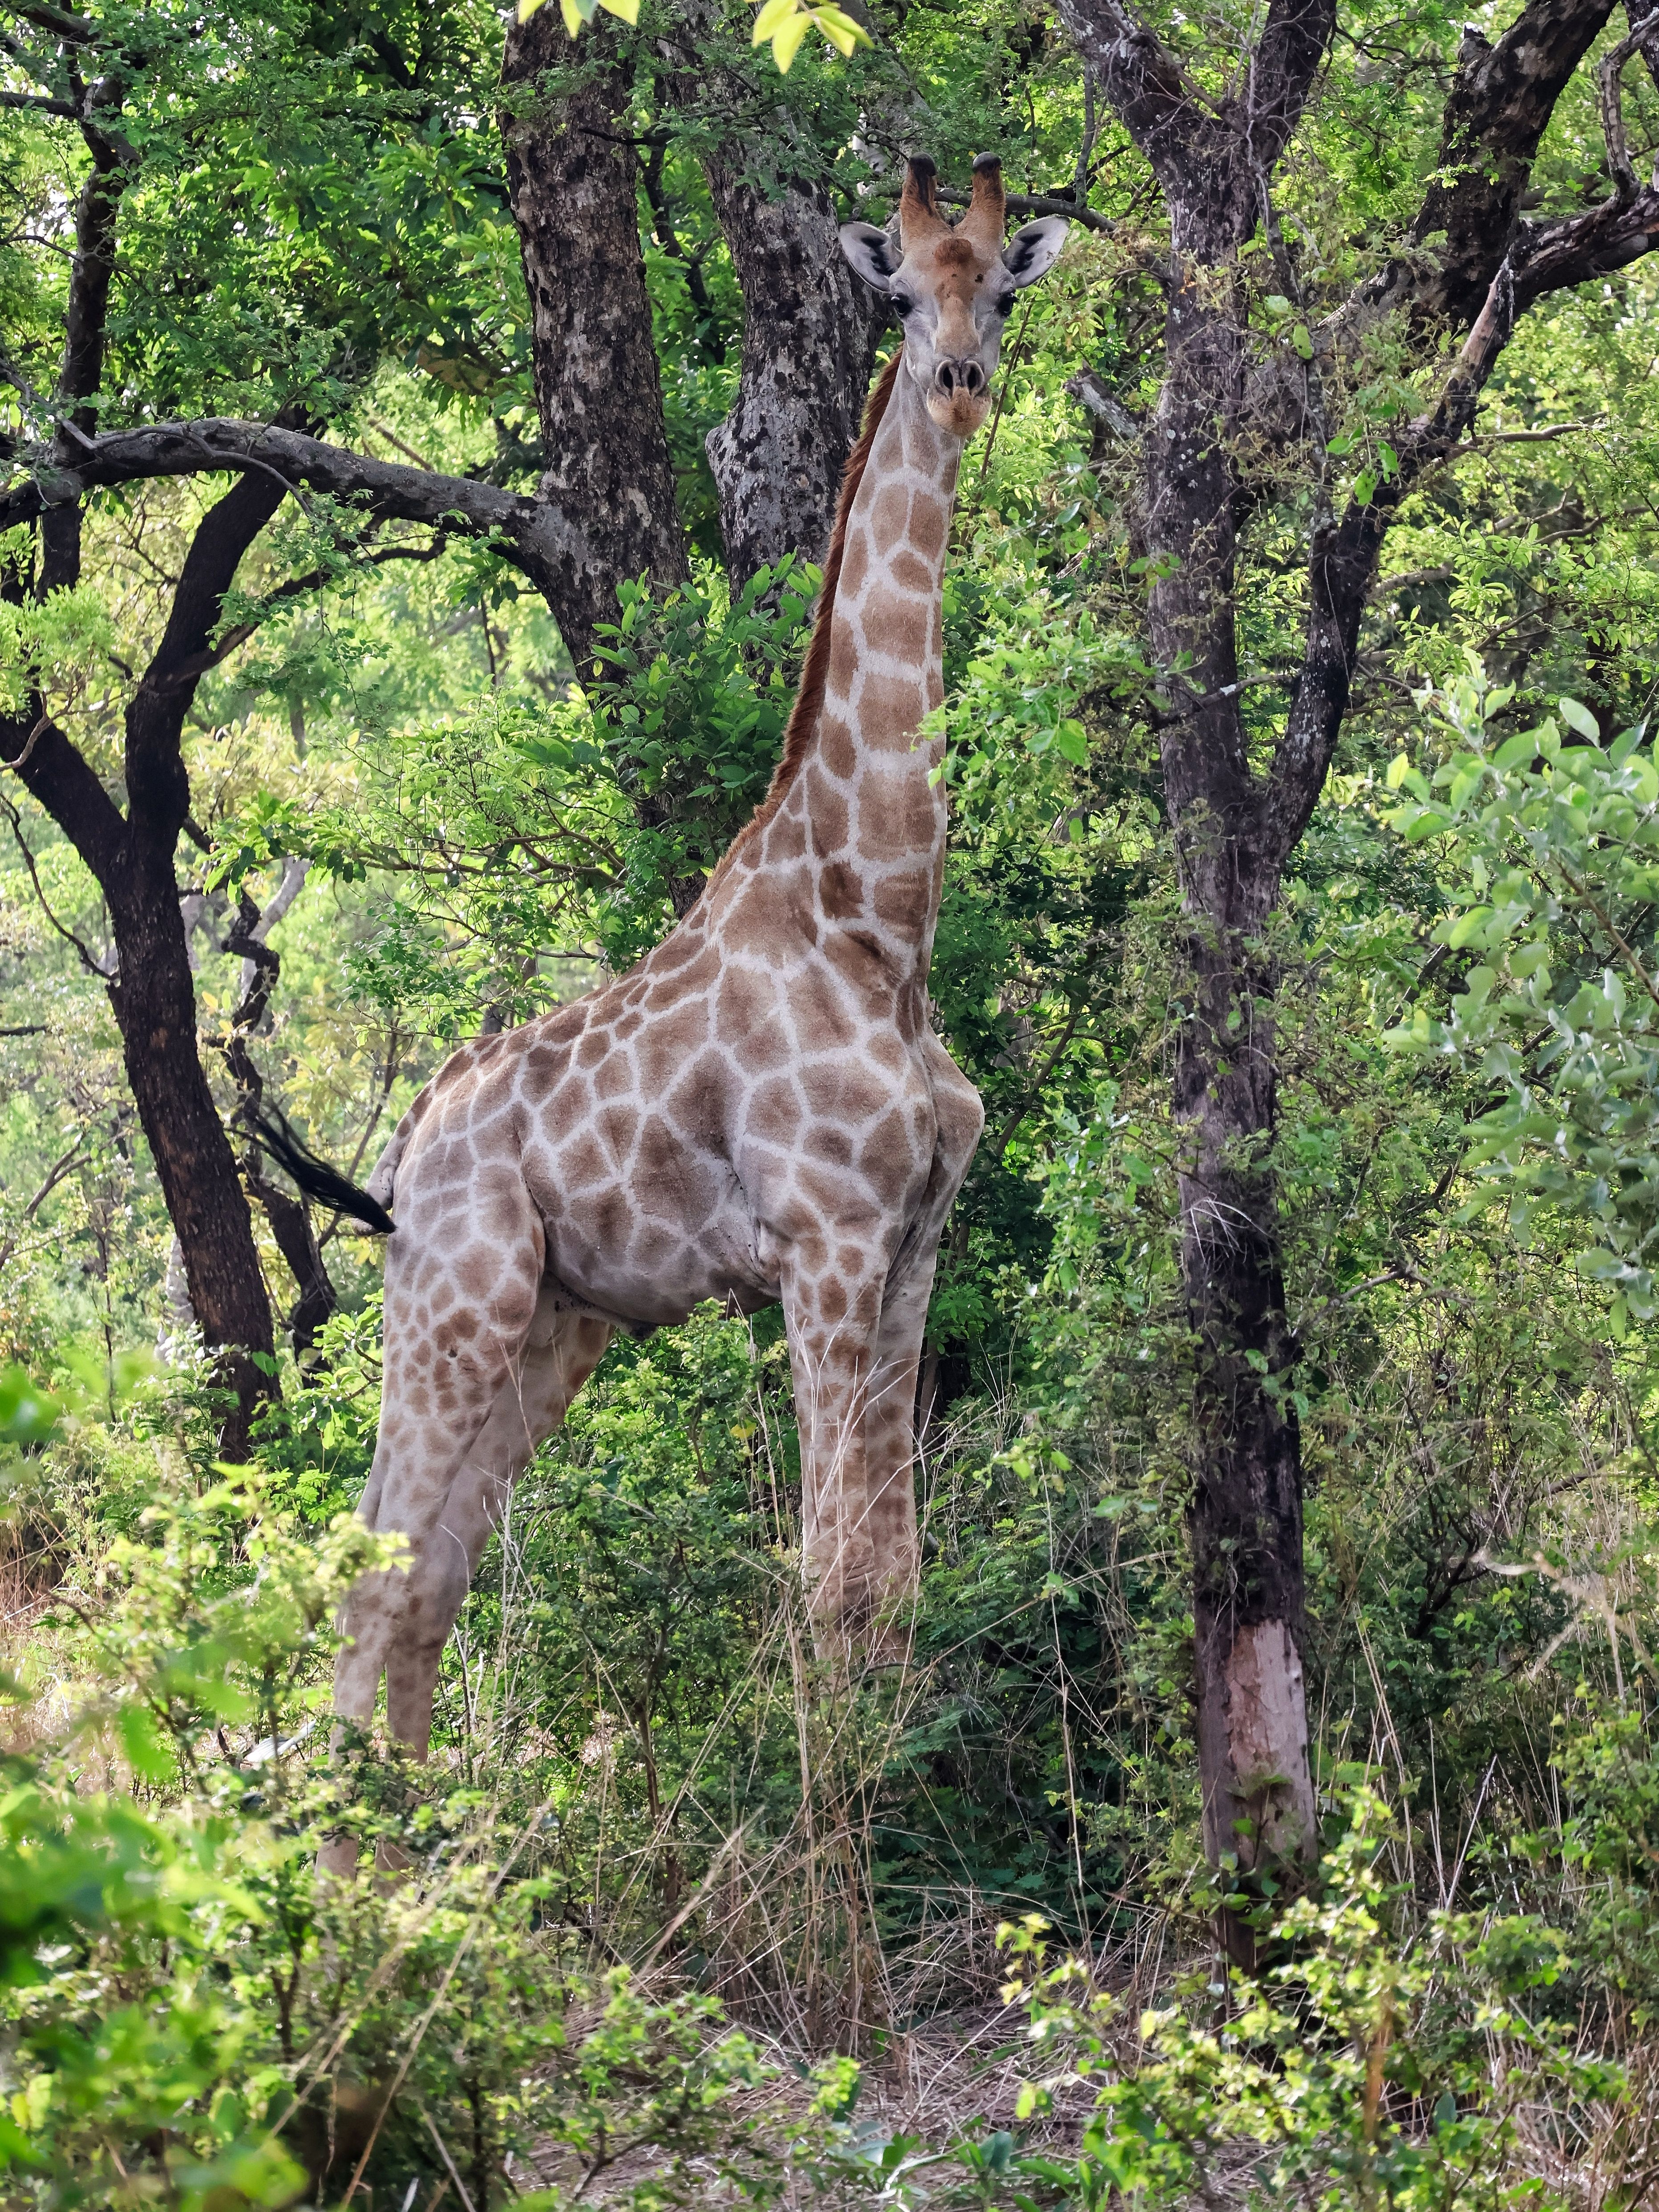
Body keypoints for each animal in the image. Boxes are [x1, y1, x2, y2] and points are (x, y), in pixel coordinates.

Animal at [306, 155, 1068, 1794]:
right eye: (899, 293)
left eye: (1001, 286)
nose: (960, 383)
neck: (877, 919)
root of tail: (407, 1146)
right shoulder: (825, 1245)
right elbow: (830, 1580)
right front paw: (835, 1837)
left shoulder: (912, 1247)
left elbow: (891, 1580)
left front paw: (887, 1808)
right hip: (454, 1301)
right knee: (373, 1575)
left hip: (555, 1323)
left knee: (432, 1577)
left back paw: (421, 1851)